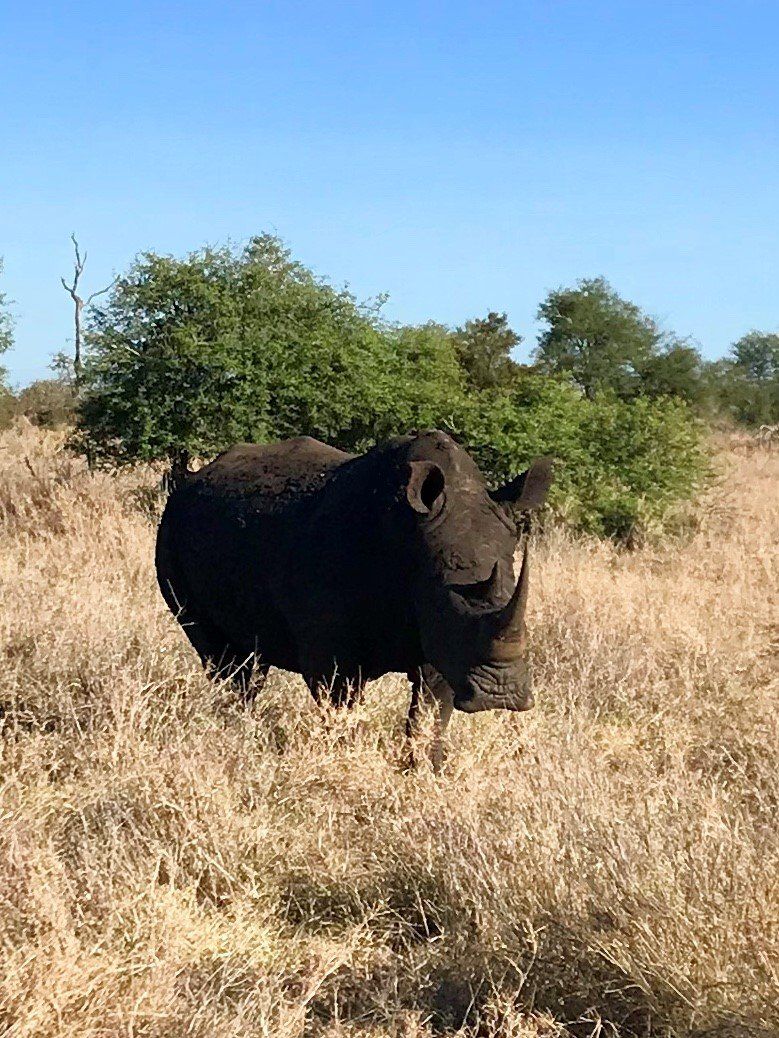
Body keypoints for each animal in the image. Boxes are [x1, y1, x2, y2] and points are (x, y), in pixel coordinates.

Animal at [155, 431, 552, 759]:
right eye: (449, 596)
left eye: (511, 574)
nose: (500, 694)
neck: (413, 539)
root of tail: (188, 486)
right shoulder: (334, 653)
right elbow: (340, 704)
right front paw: (344, 760)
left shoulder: (445, 647)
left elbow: (431, 714)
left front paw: (425, 772)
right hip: (169, 533)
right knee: (220, 658)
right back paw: (238, 731)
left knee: (250, 659)